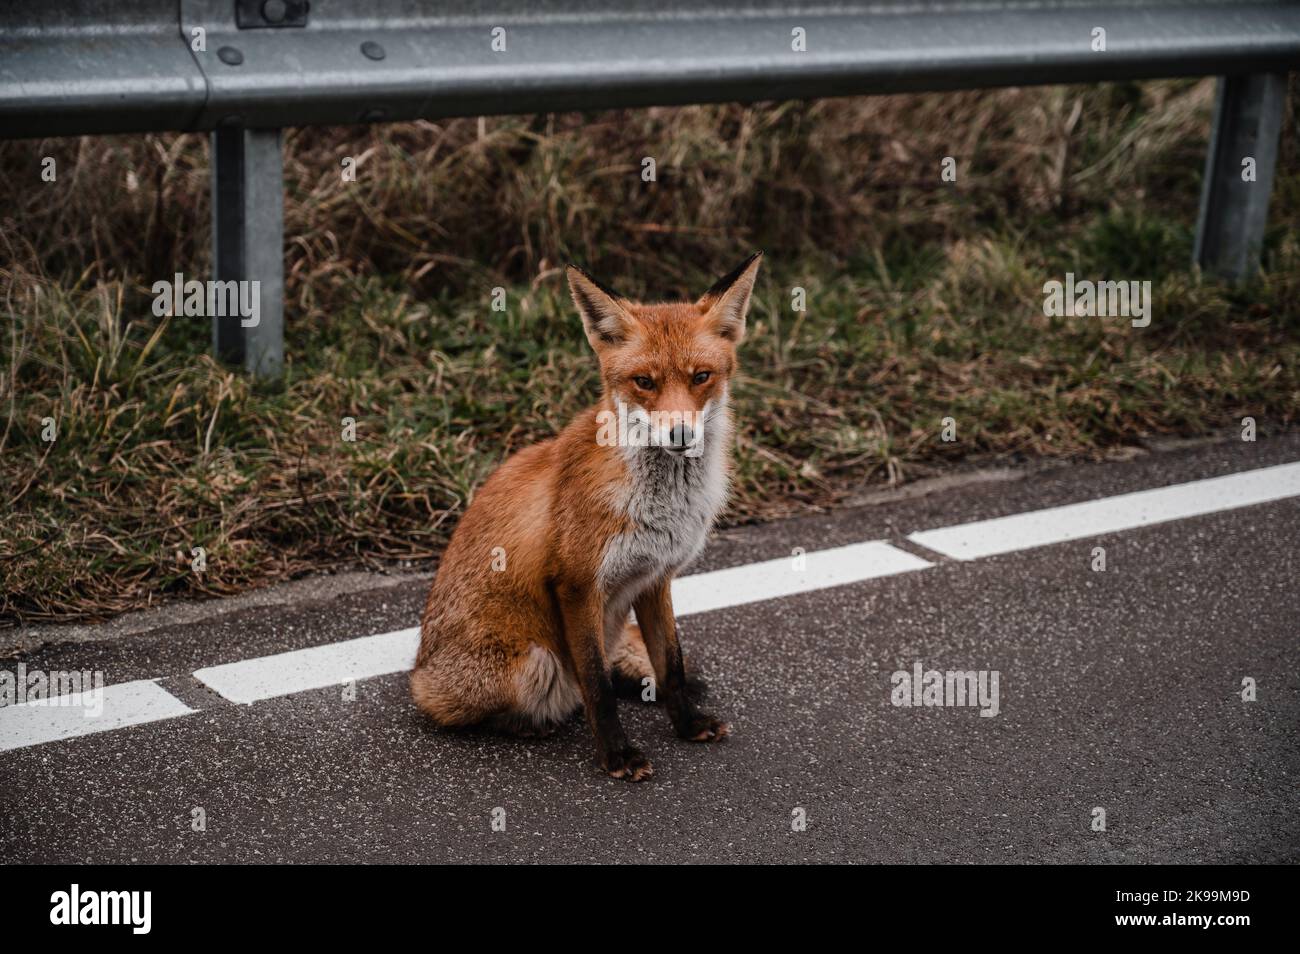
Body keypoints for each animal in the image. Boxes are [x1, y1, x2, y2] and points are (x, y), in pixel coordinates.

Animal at [411, 252, 762, 781]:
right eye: (644, 382)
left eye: (701, 377)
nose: (680, 434)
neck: (662, 503)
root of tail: (419, 668)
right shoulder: (576, 585)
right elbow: (597, 686)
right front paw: (617, 756)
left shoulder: (655, 578)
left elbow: (672, 666)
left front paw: (686, 724)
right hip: (531, 664)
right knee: (480, 707)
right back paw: (527, 724)